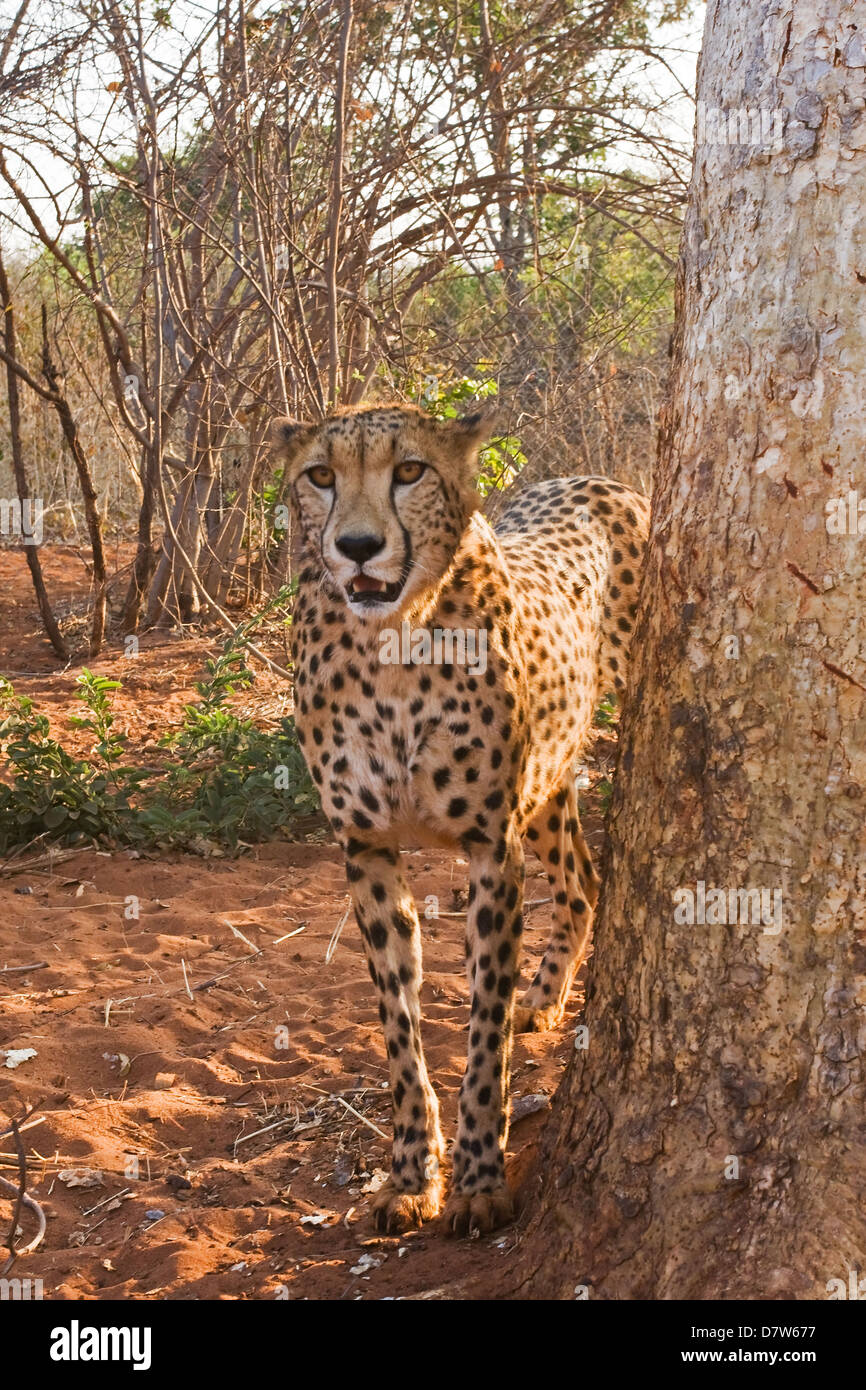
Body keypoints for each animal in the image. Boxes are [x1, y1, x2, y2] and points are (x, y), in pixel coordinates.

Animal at [274, 402, 649, 1238]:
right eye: (321, 476)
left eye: (409, 470)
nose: (356, 547)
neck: (391, 644)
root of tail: (599, 478)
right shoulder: (367, 850)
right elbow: (399, 1028)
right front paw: (413, 1175)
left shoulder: (489, 844)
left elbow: (482, 1032)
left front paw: (480, 1177)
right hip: (547, 783)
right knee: (581, 877)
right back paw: (544, 997)